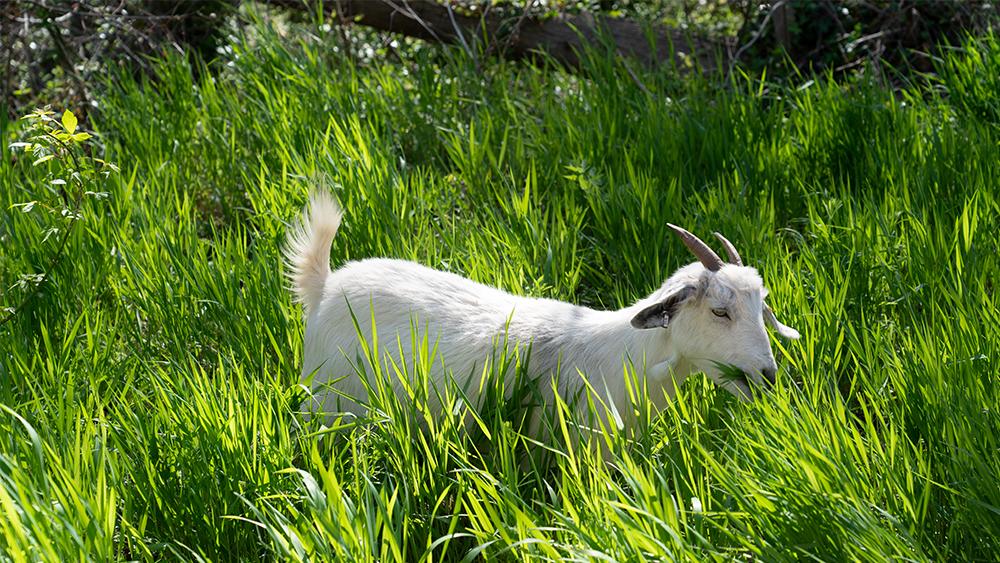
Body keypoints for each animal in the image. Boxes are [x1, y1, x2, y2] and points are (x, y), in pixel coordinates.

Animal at [286, 191, 799, 429]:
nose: (768, 375)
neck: (626, 356)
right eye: (719, 312)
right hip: (327, 401)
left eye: (761, 307)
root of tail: (327, 284)